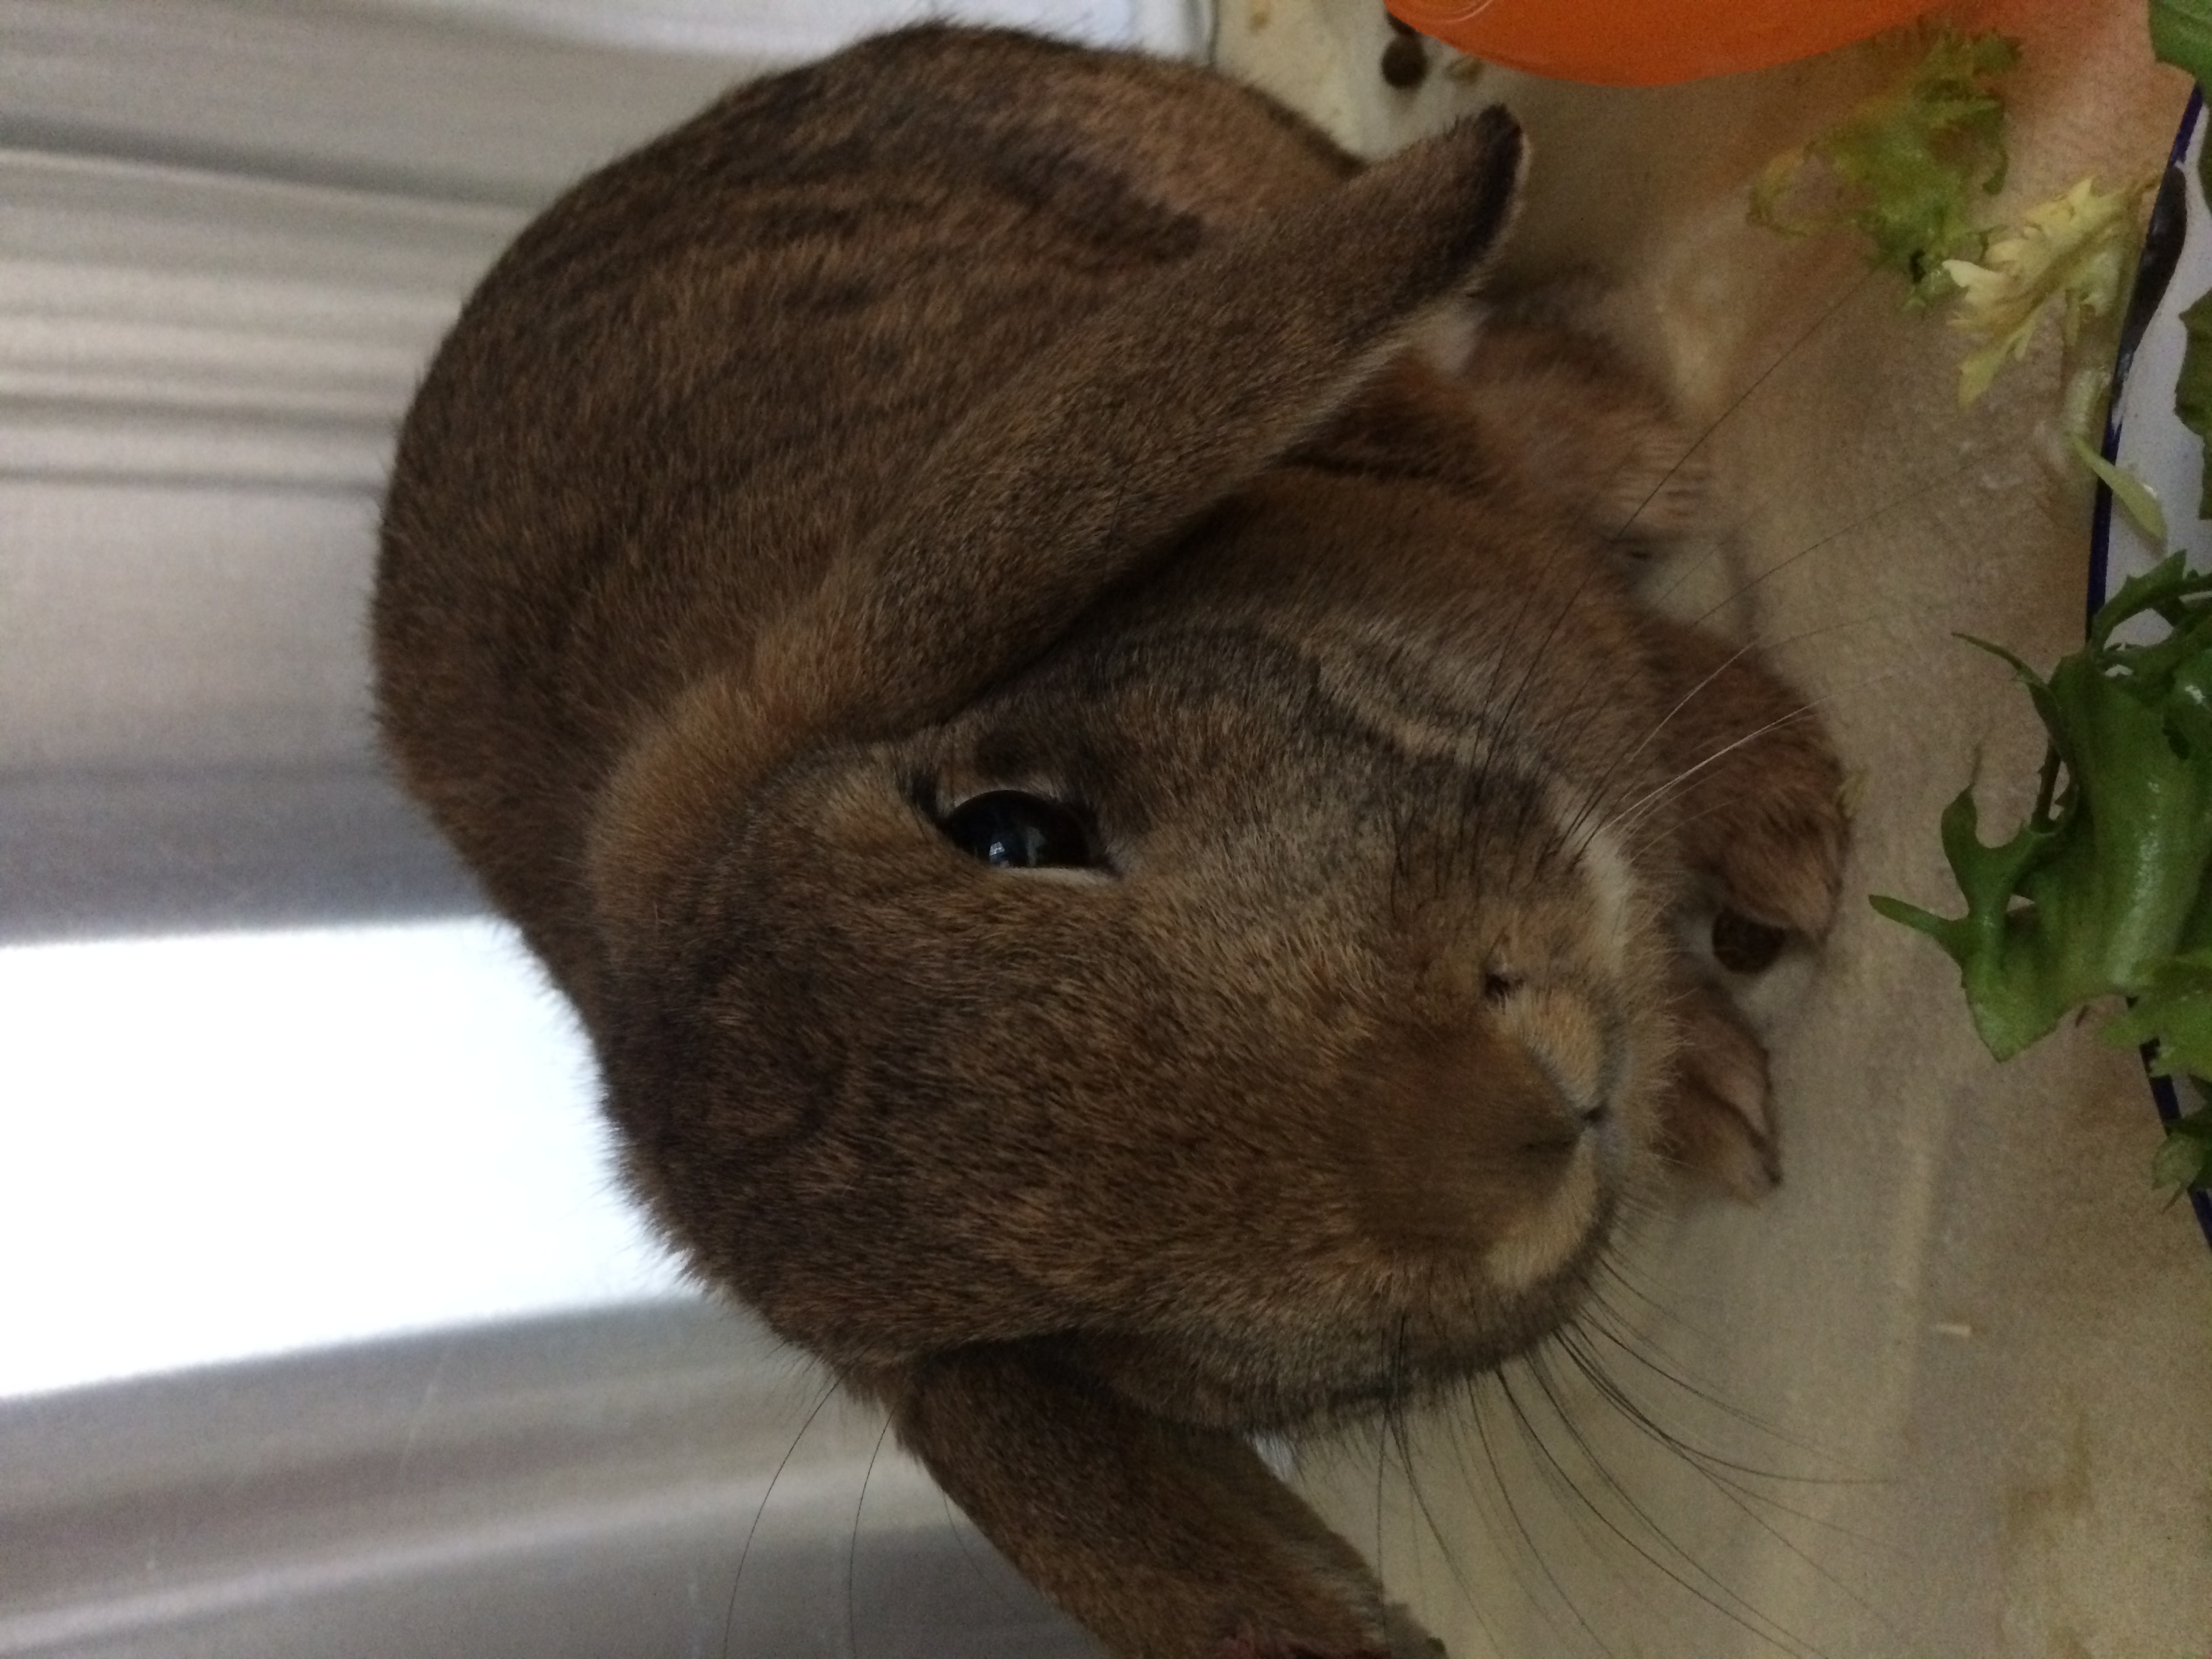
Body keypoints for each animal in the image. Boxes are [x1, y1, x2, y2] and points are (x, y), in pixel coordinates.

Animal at [373, 24, 1846, 1659]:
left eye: (1009, 830)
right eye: (1090, 1336)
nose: (1522, 1116)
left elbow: (1647, 663)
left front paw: (1784, 830)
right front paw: (1712, 1097)